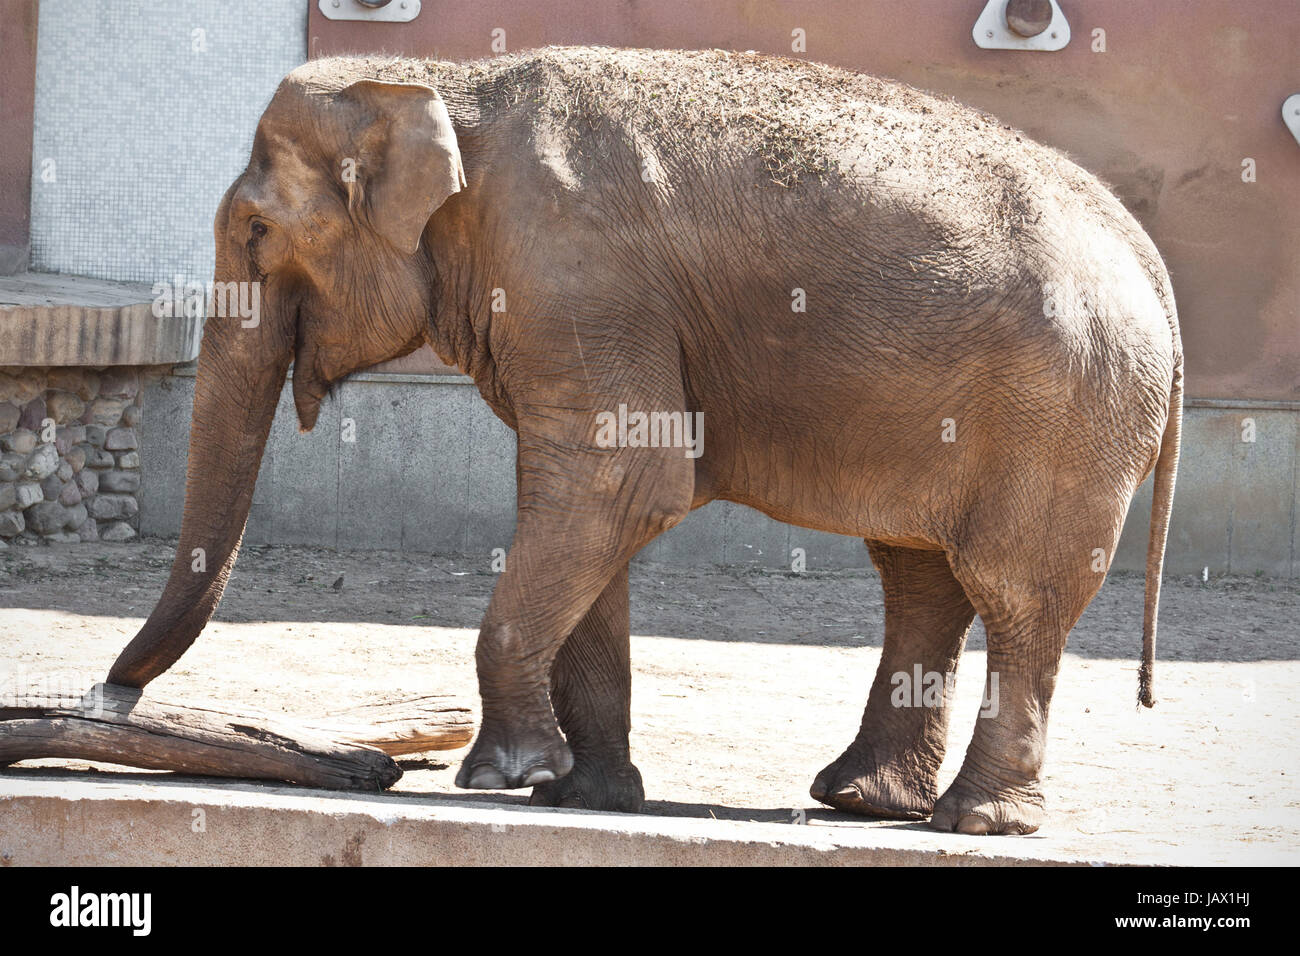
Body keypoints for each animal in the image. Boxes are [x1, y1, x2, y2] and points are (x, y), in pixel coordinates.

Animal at [107, 47, 1182, 835]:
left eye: (254, 231)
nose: (110, 696)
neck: (446, 82)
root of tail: (1150, 263)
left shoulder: (575, 276)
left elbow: (621, 478)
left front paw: (502, 778)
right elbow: (590, 508)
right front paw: (578, 793)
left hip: (1066, 412)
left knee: (1015, 590)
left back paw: (977, 821)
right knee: (920, 575)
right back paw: (860, 800)